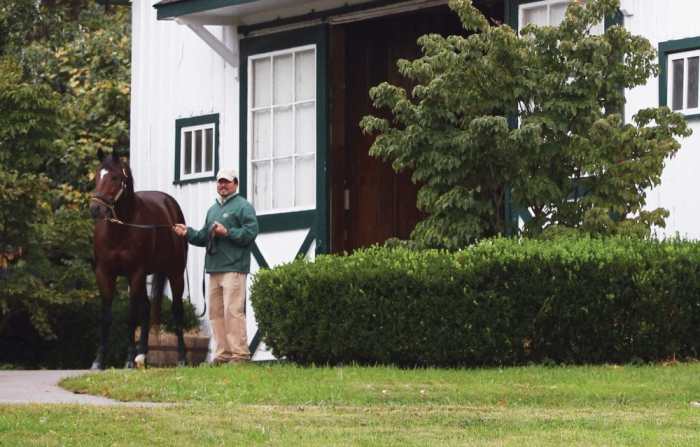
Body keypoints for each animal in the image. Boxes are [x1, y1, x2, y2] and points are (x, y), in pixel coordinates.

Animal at [89, 149, 188, 369]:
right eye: (97, 175)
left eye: (115, 177)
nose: (95, 209)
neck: (120, 229)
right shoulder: (104, 273)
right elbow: (106, 317)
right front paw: (98, 361)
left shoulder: (135, 273)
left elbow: (131, 317)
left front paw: (128, 360)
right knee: (147, 308)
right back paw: (142, 354)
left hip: (175, 273)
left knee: (177, 311)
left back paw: (182, 358)